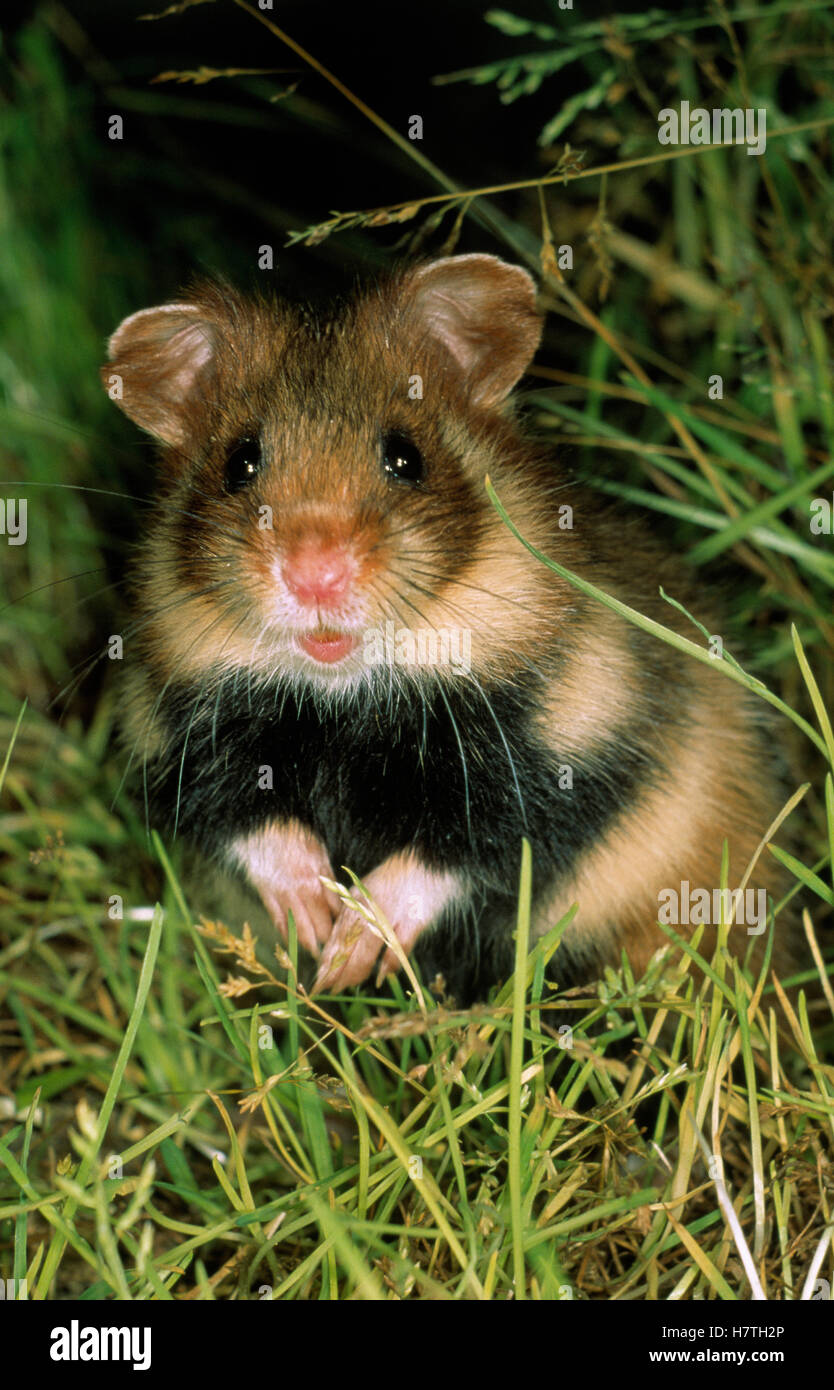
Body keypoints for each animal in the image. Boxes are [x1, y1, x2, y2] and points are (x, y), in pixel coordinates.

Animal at [100, 253, 792, 1004]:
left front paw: (351, 951)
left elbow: (464, 850)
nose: (315, 576)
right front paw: (314, 925)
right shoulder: (173, 734)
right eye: (239, 462)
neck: (348, 691)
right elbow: (247, 821)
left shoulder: (572, 744)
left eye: (406, 458)